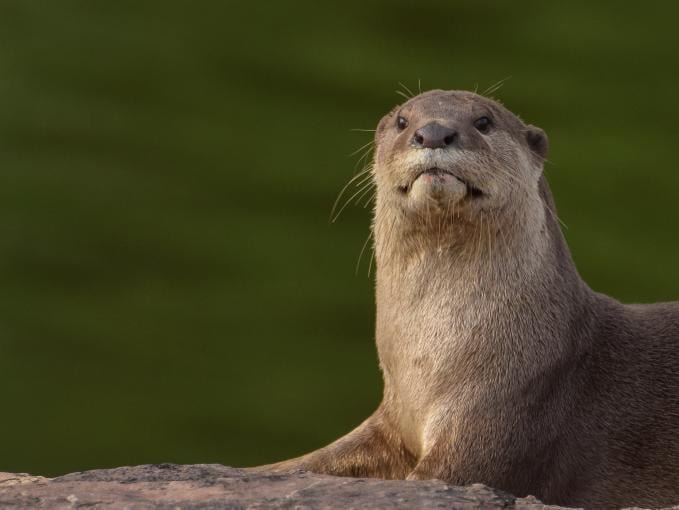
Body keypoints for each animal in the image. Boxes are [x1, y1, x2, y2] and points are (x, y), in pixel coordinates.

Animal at [250, 90, 679, 509]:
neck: (432, 357)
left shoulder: (498, 417)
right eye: (403, 120)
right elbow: (303, 463)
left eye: (484, 121)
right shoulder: (393, 417)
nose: (434, 132)